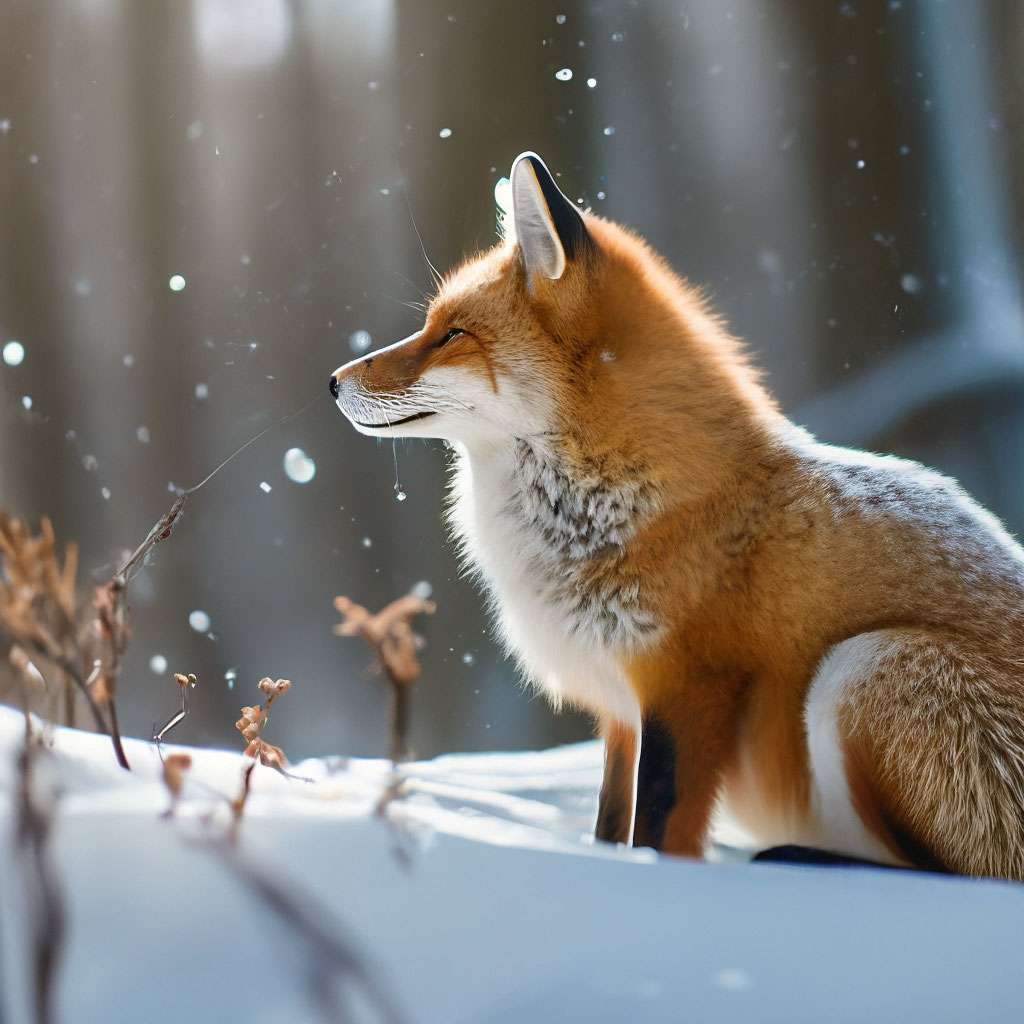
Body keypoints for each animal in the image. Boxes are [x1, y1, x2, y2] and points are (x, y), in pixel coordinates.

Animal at [331, 151, 1024, 879]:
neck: (617, 503)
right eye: (433, 326)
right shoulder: (619, 709)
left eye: (453, 335)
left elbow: (661, 832)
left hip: (865, 667)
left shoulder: (688, 692)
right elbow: (610, 827)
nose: (333, 381)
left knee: (952, 878)